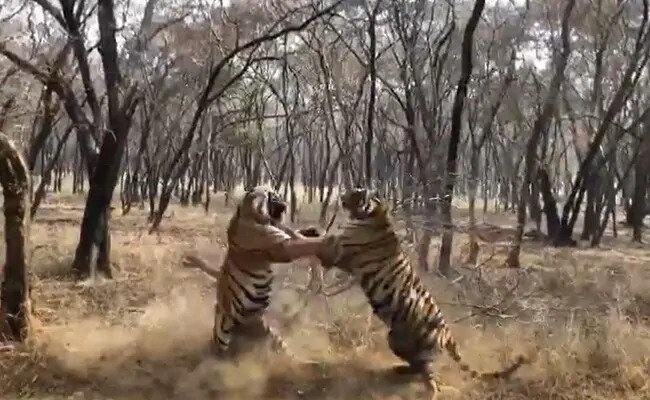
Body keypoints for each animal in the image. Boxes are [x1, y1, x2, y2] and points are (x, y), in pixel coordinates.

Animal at [182, 186, 323, 359]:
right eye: (274, 197)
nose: (286, 204)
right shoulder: (282, 247)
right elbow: (309, 244)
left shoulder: (283, 236)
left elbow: (299, 235)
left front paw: (314, 233)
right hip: (223, 335)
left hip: (267, 335)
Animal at [317, 187, 527, 398]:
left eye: (354, 192)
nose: (341, 196)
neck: (374, 211)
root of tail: (447, 331)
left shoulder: (338, 252)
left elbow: (325, 243)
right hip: (396, 339)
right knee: (416, 366)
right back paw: (402, 370)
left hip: (422, 350)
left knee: (431, 377)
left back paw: (430, 391)